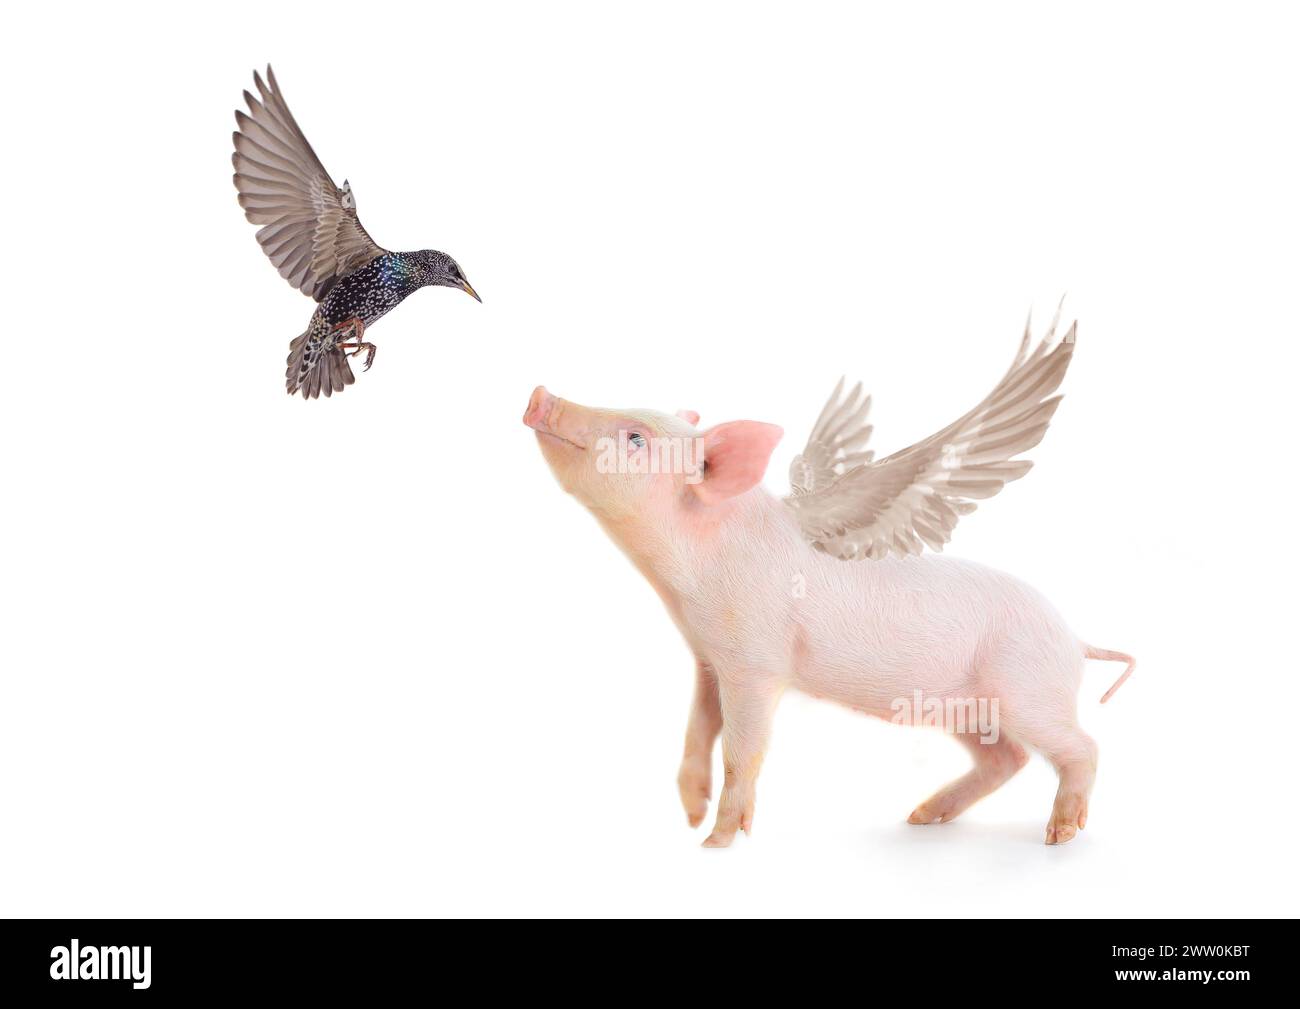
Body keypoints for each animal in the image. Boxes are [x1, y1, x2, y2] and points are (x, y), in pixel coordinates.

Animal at [523, 319, 1133, 847]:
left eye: (634, 437)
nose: (540, 394)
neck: (682, 582)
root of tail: (1076, 640)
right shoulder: (707, 656)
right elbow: (698, 728)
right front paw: (691, 814)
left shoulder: (756, 661)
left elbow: (741, 751)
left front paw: (716, 842)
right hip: (963, 706)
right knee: (1007, 757)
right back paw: (920, 817)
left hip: (1029, 690)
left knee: (1082, 746)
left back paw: (1058, 834)